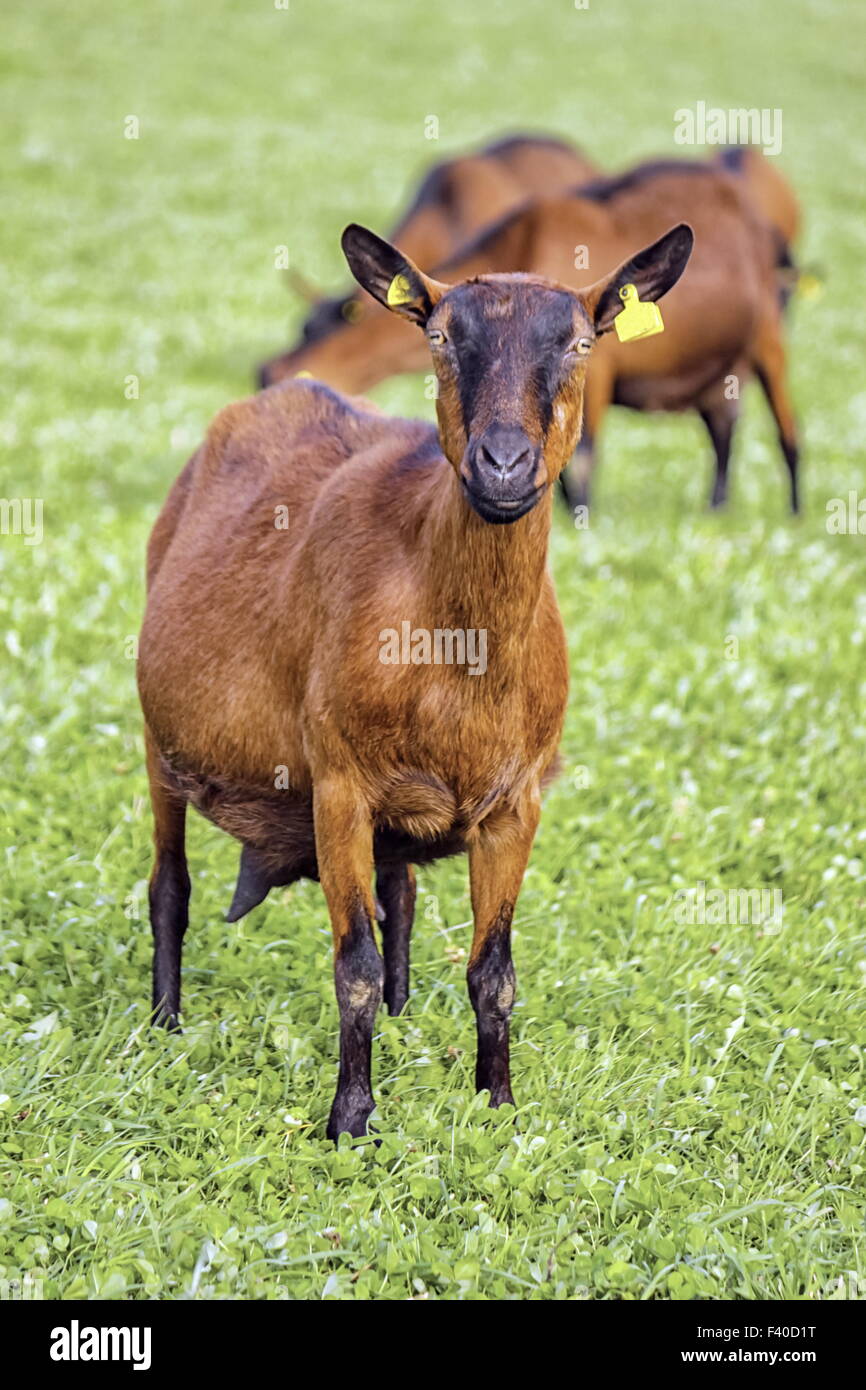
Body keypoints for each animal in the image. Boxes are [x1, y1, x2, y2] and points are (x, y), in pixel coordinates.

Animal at [138, 219, 693, 1138]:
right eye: (438, 337)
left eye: (582, 342)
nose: (502, 466)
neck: (454, 649)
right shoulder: (337, 785)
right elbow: (351, 963)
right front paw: (350, 1121)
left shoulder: (515, 801)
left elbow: (493, 972)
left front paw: (499, 1105)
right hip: (159, 742)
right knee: (169, 887)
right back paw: (163, 1023)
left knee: (397, 893)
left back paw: (403, 1014)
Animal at [262, 159, 799, 514]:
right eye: (439, 338)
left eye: (581, 344)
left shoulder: (599, 376)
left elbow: (581, 465)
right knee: (724, 427)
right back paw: (717, 508)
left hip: (769, 335)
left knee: (787, 429)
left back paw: (794, 513)